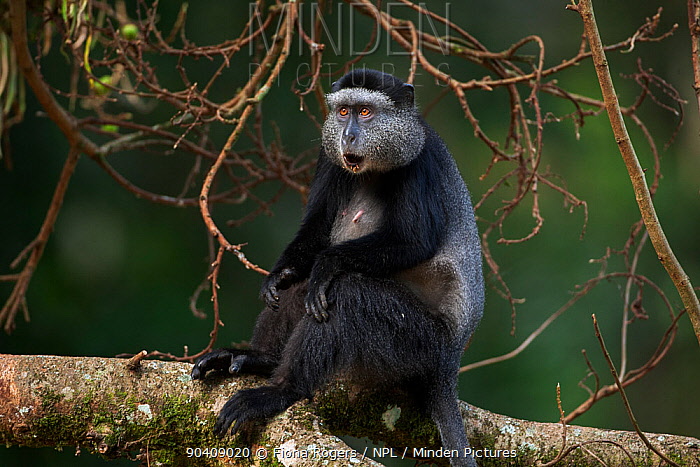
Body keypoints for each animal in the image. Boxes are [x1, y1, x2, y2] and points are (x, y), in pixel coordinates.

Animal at [191, 68, 485, 467]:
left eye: (365, 112)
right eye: (343, 112)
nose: (348, 136)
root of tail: (449, 366)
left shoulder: (419, 165)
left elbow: (412, 242)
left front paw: (328, 264)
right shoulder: (327, 160)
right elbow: (316, 227)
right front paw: (279, 275)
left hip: (420, 343)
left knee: (346, 294)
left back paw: (283, 389)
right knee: (302, 289)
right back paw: (260, 358)